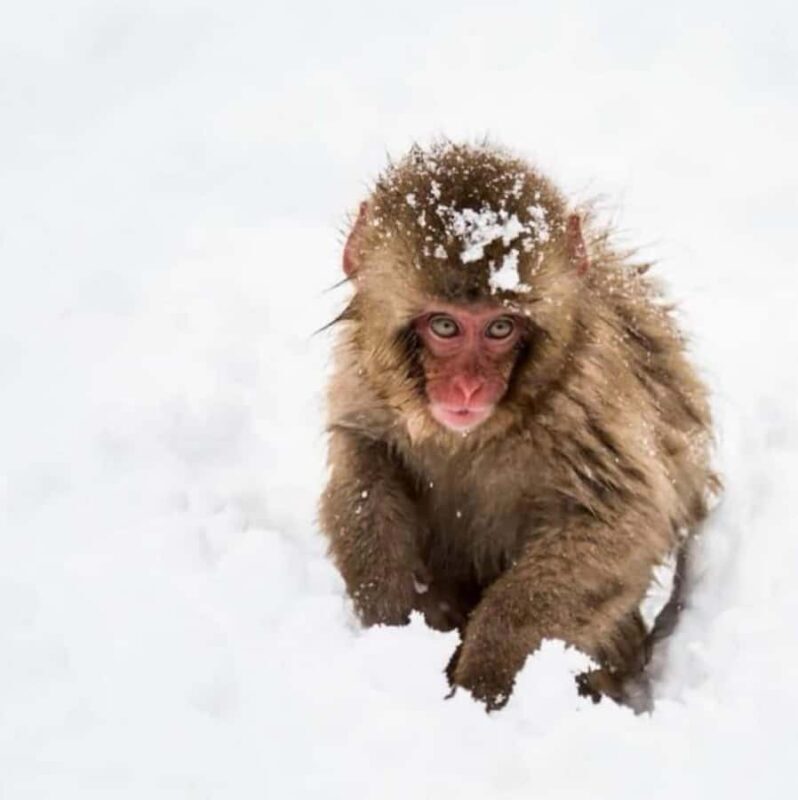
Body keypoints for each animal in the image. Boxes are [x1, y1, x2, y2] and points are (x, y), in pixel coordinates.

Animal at [319, 141, 717, 710]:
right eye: (445, 325)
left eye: (500, 327)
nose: (467, 389)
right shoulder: (367, 382)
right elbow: (365, 462)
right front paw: (389, 621)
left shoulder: (587, 400)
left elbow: (621, 519)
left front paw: (483, 675)